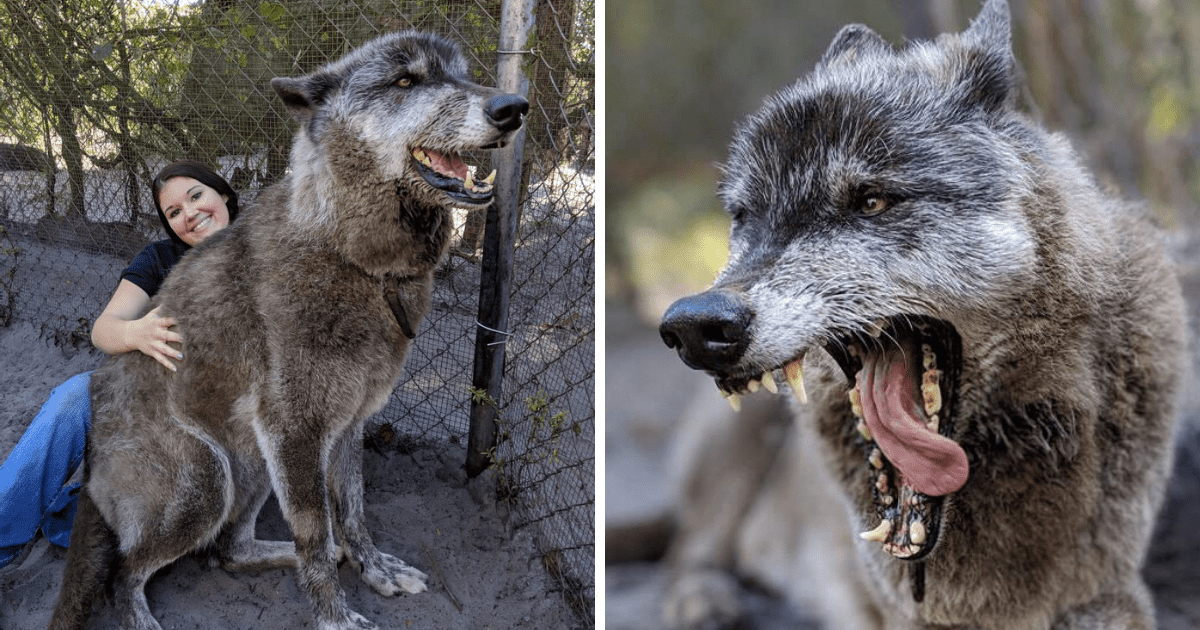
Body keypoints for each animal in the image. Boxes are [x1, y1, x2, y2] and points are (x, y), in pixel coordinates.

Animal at [49, 31, 527, 630]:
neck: (350, 255)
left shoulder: (346, 426)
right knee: (124, 573)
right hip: (207, 480)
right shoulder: (295, 430)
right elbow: (315, 532)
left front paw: (374, 569)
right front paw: (336, 617)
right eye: (405, 80)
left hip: (252, 462)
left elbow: (352, 513)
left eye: (462, 74)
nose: (514, 107)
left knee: (228, 550)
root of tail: (91, 465)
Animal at [657, 1, 1185, 628]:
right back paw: (702, 598)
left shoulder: (1109, 590)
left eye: (871, 202)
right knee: (686, 548)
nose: (693, 326)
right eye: (744, 216)